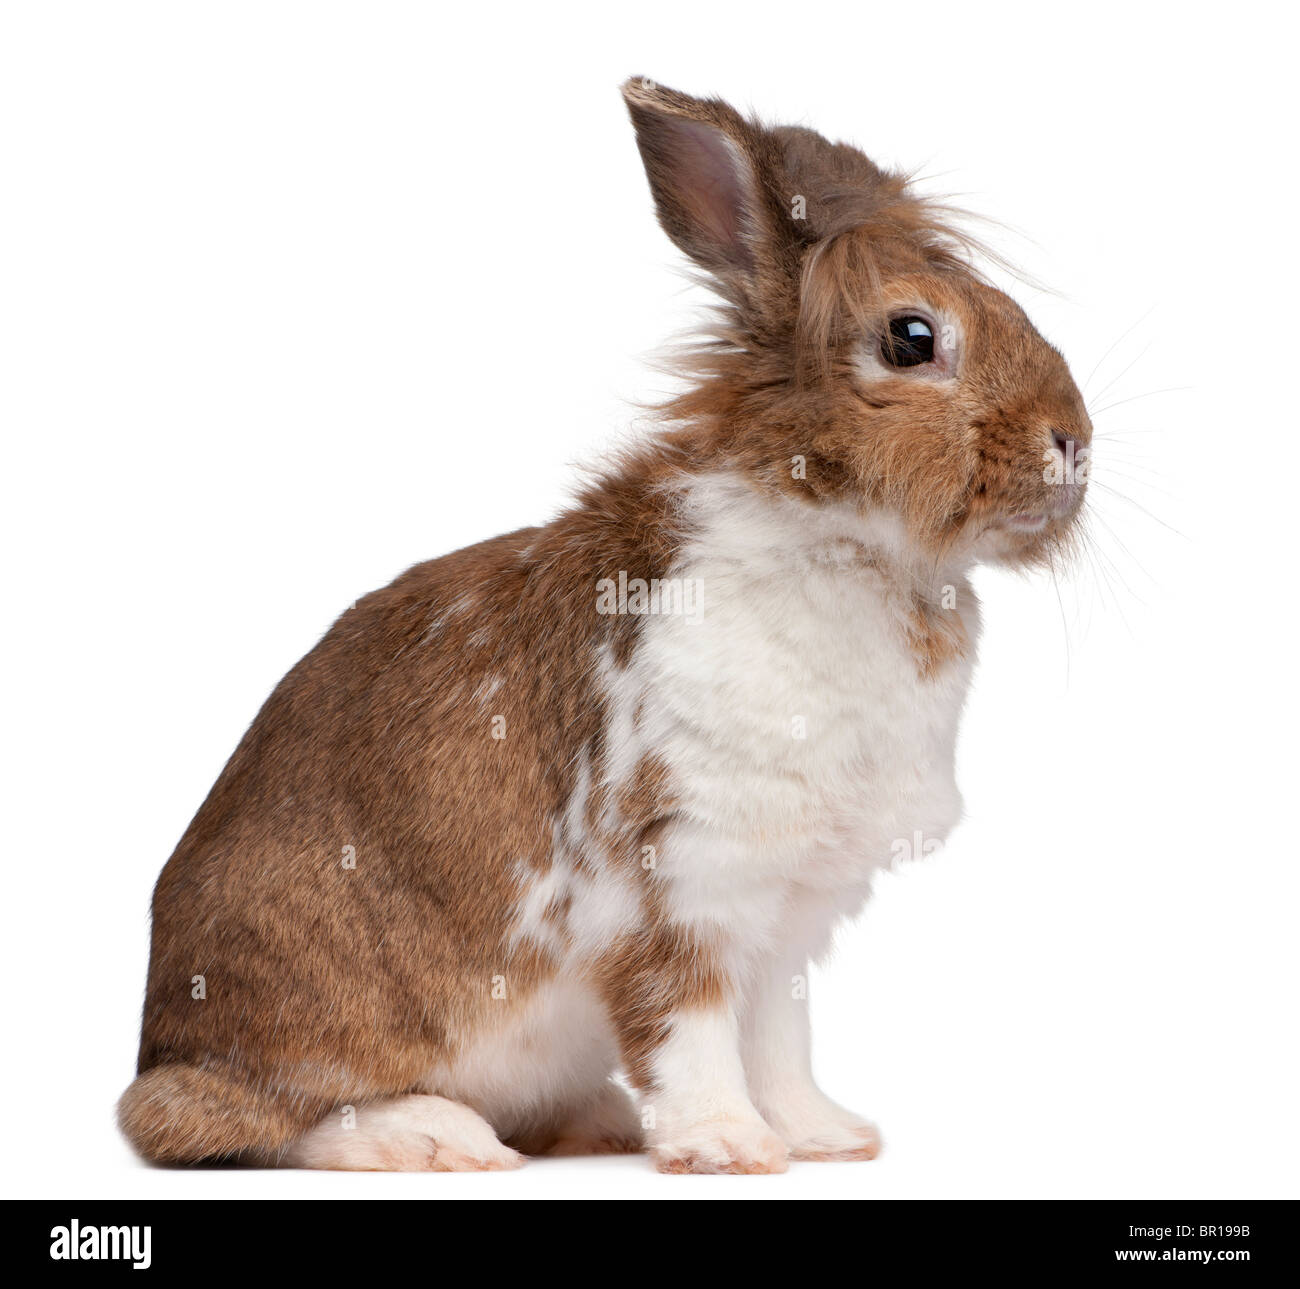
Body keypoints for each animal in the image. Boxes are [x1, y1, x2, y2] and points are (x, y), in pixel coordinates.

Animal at [118, 76, 1090, 1175]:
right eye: (912, 338)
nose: (1073, 440)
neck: (848, 541)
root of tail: (160, 1039)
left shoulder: (786, 922)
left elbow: (778, 1037)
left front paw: (824, 1137)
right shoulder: (679, 882)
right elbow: (690, 1026)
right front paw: (728, 1148)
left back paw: (590, 1119)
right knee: (241, 1120)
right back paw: (439, 1137)